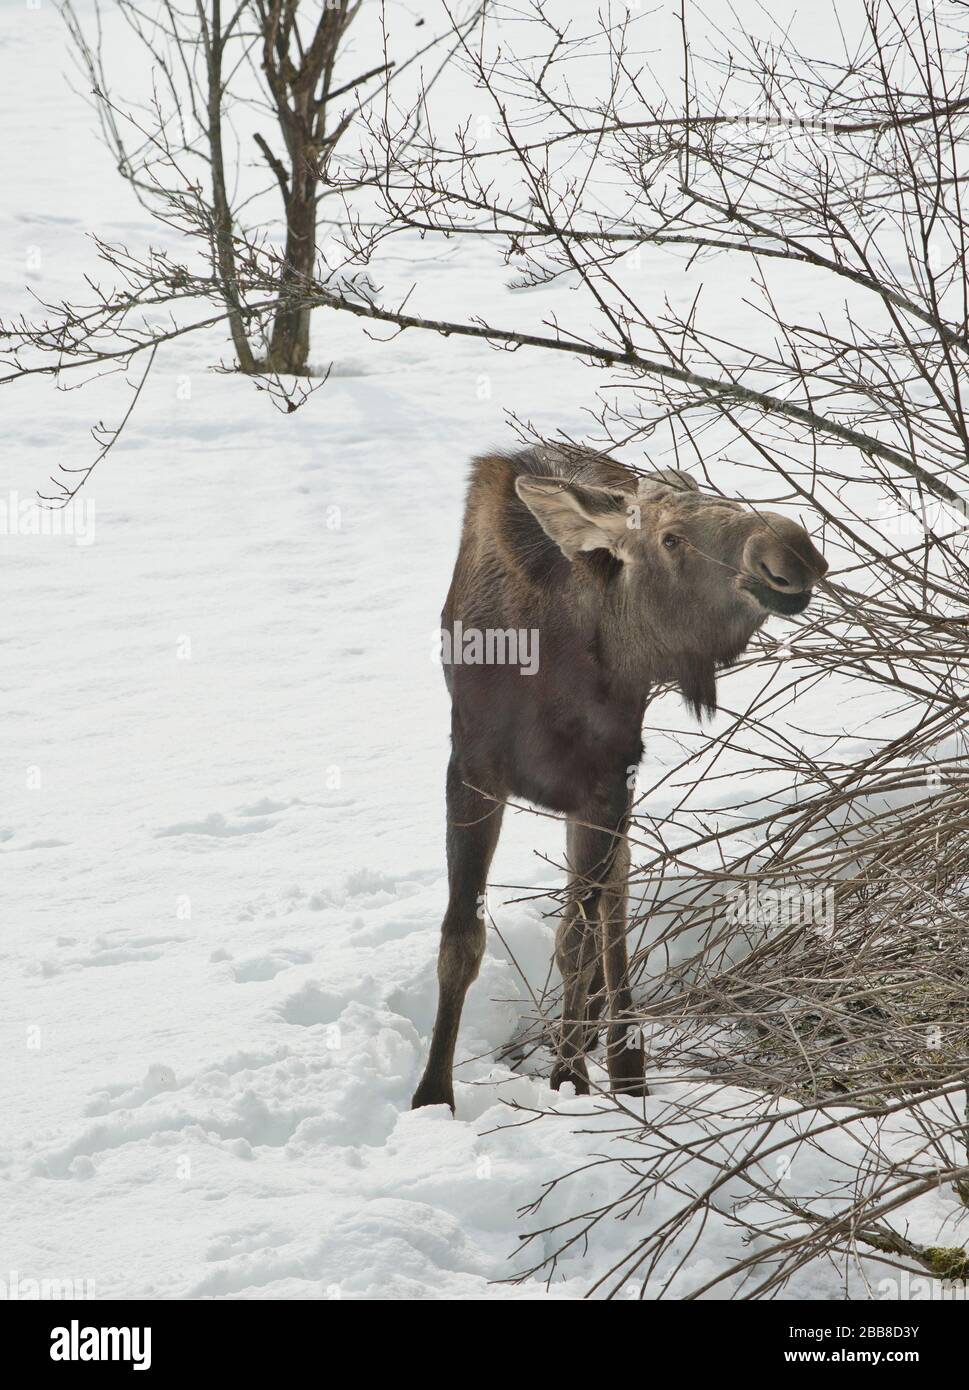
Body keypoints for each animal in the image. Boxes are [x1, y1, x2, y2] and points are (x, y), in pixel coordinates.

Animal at [411, 444, 828, 1111]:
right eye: (671, 538)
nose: (790, 547)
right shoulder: (472, 771)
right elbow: (461, 939)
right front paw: (431, 1096)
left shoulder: (607, 782)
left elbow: (575, 940)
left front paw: (569, 1079)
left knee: (616, 894)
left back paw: (622, 1057)